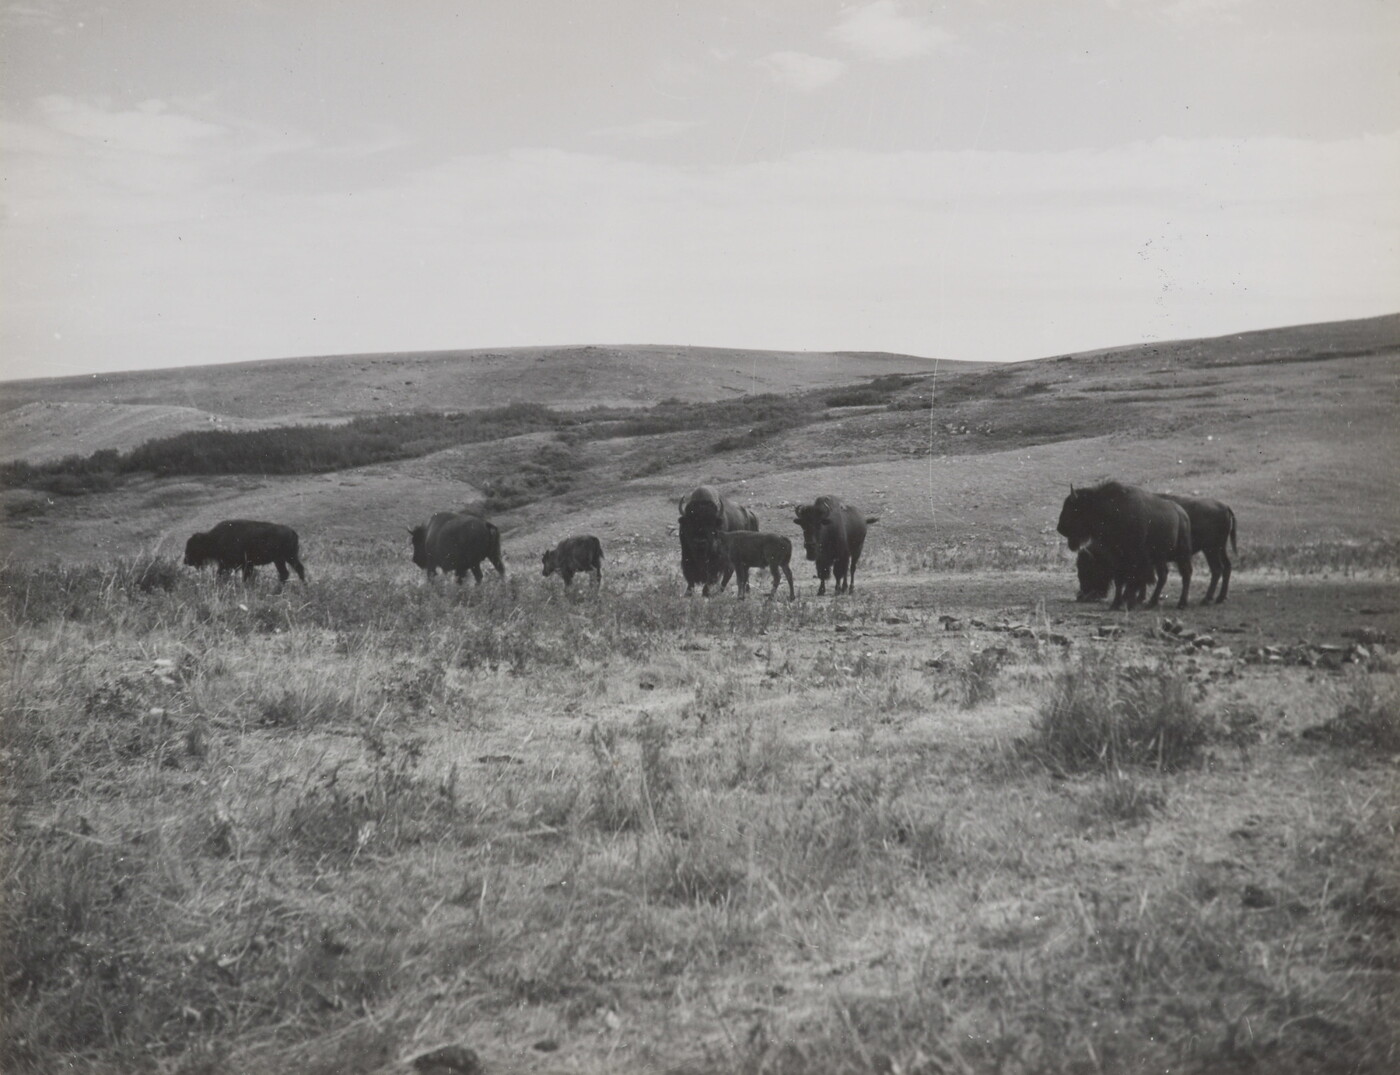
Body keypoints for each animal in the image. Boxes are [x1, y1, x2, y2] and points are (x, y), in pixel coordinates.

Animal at [1057, 481, 1192, 609]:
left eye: (1072, 508)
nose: (1060, 528)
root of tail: (1183, 514)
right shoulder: (1117, 557)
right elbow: (1120, 580)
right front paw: (1116, 604)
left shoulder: (1137, 558)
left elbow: (1135, 579)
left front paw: (1129, 603)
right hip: (1160, 557)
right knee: (1163, 575)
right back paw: (1152, 603)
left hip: (1182, 554)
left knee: (1185, 574)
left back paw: (1181, 603)